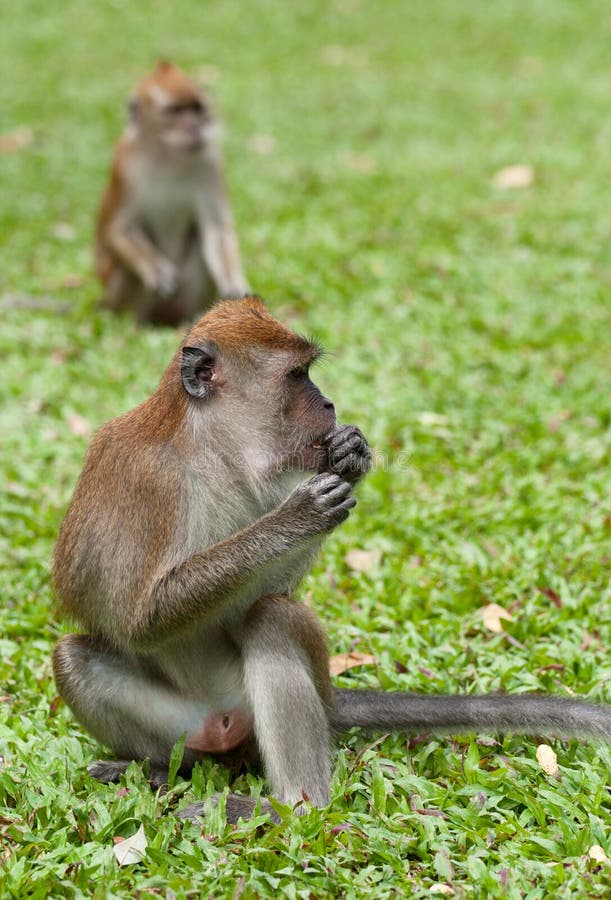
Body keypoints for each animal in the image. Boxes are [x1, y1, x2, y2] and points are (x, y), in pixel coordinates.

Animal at [52, 296, 611, 824]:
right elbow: (137, 619)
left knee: (272, 618)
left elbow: (269, 593)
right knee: (73, 656)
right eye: (297, 376)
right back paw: (182, 774)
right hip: (188, 723)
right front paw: (296, 517)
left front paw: (351, 457)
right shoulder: (148, 485)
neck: (210, 453)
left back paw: (289, 804)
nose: (329, 403)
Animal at [95, 61, 248, 326]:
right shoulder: (123, 165)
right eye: (175, 110)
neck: (167, 158)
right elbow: (120, 230)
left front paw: (232, 282)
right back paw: (138, 325)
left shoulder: (210, 165)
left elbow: (217, 230)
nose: (196, 128)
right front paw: (158, 270)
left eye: (196, 109)